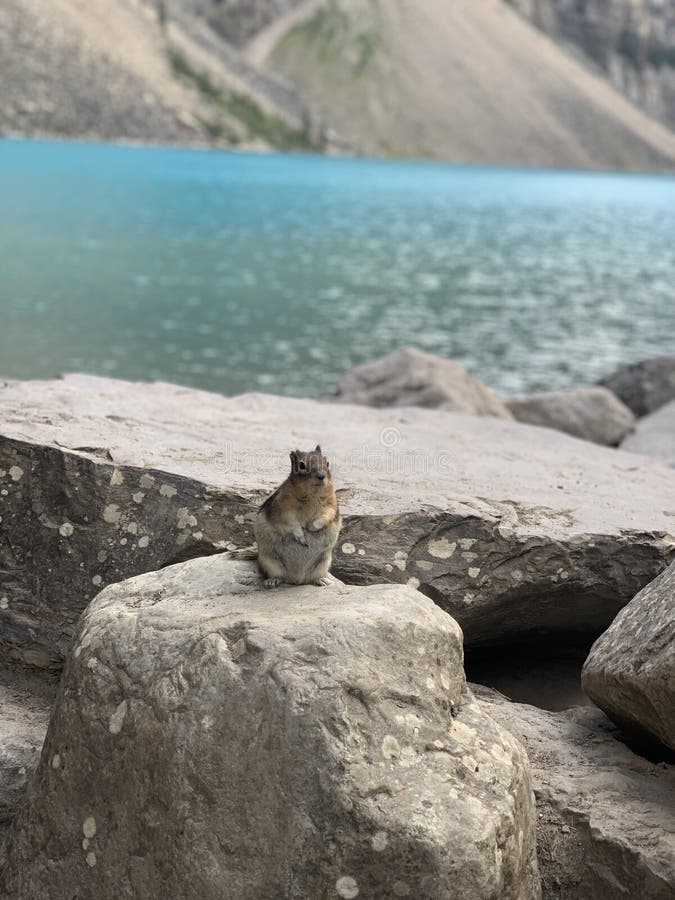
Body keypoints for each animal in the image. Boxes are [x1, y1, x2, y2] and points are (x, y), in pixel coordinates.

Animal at [253, 445, 341, 589]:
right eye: (301, 465)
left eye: (327, 462)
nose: (321, 476)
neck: (312, 494)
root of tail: (297, 580)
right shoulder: (283, 507)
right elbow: (291, 523)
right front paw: (301, 536)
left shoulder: (331, 505)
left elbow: (326, 516)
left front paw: (312, 527)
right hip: (268, 561)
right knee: (277, 575)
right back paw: (272, 581)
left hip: (324, 563)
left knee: (313, 578)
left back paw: (322, 580)